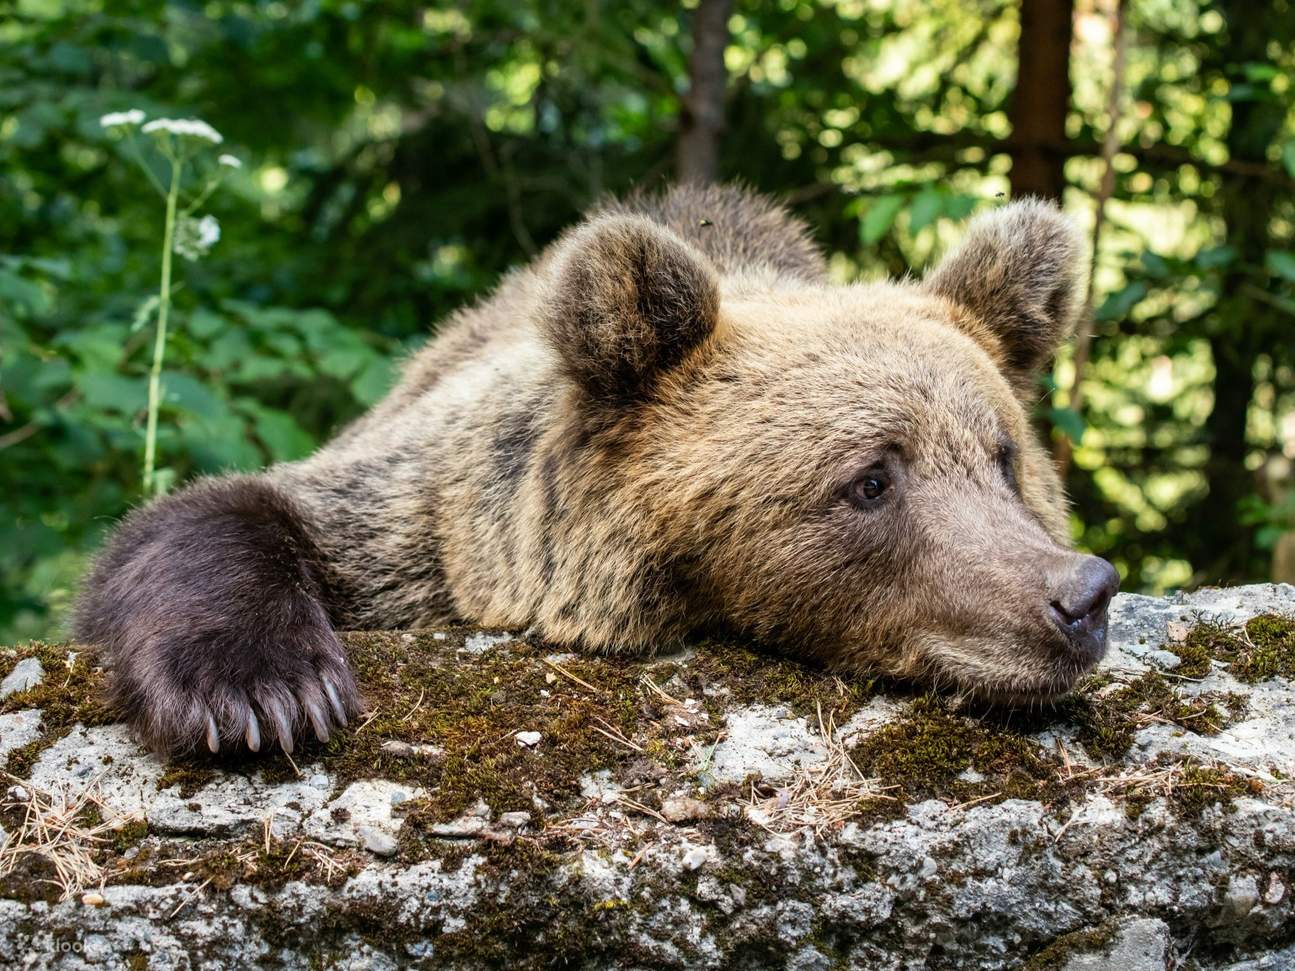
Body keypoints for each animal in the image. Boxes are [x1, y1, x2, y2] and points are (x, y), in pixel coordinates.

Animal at [74, 183, 1119, 756]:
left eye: (1001, 459)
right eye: (871, 477)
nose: (1079, 595)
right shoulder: (433, 526)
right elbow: (225, 514)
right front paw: (264, 691)